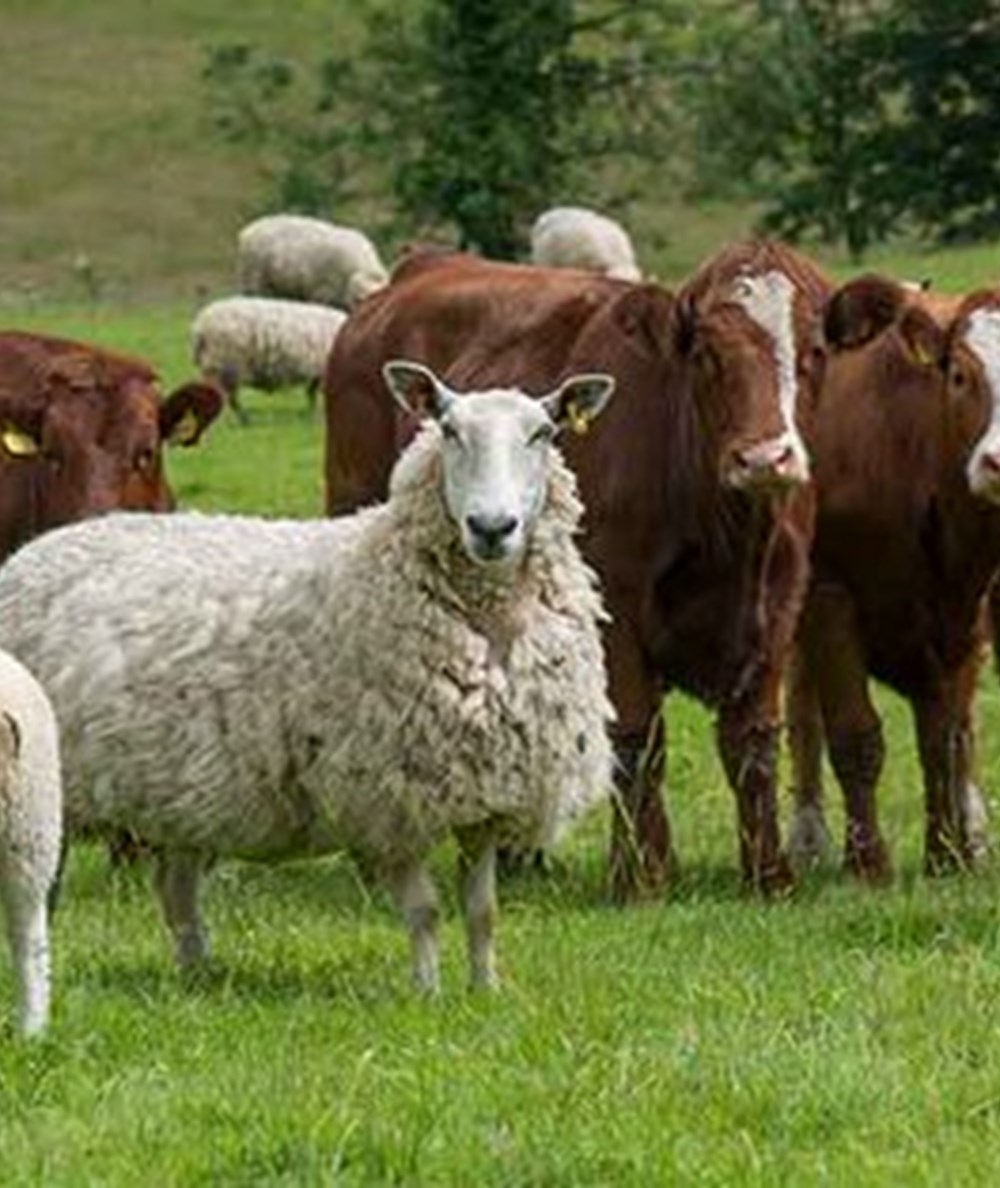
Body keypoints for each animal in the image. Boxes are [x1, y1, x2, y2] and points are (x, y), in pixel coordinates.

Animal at [0, 363, 616, 992]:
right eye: (448, 430)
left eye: (544, 433)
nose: (492, 528)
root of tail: (39, 548)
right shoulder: (385, 795)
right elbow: (424, 910)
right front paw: (427, 994)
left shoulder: (486, 791)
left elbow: (482, 911)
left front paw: (484, 992)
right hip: (43, 784)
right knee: (45, 895)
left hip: (184, 789)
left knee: (177, 891)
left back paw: (199, 978)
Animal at [192, 295, 347, 422]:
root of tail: (200, 326)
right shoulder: (324, 373)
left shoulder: (318, 374)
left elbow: (312, 394)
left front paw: (312, 415)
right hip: (223, 365)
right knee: (221, 395)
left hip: (222, 368)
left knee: (229, 397)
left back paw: (244, 419)